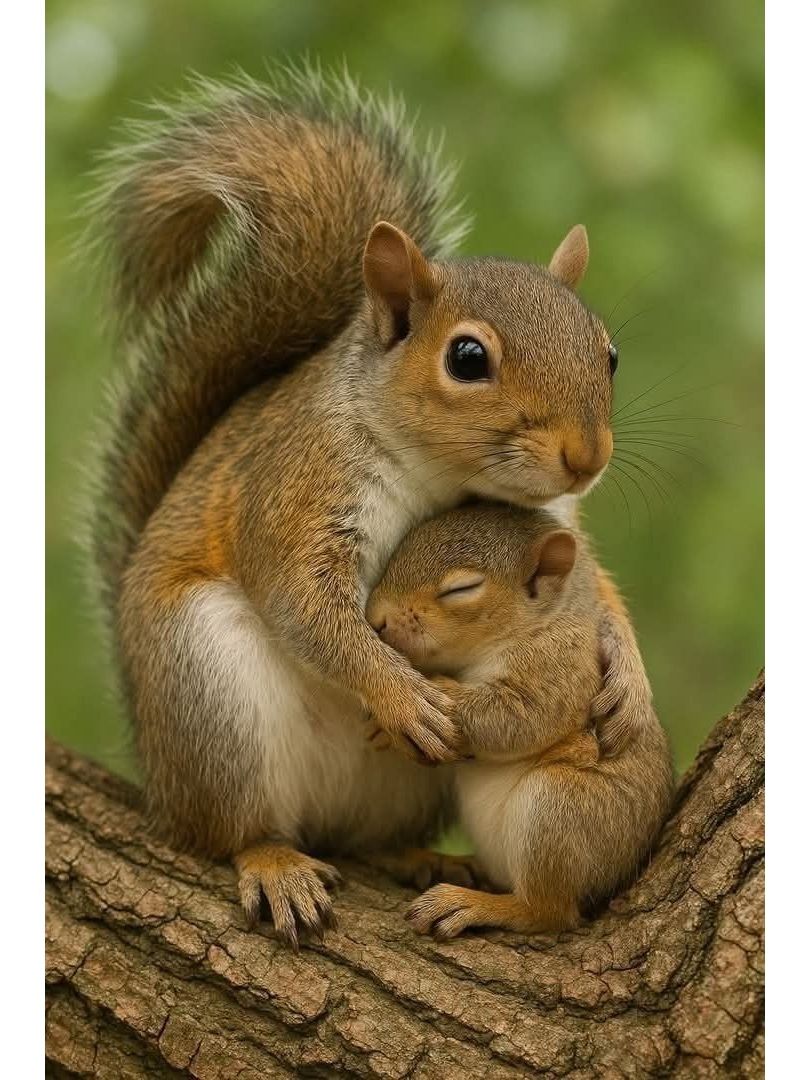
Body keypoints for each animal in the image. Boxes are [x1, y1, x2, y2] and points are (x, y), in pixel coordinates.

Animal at [365, 501, 674, 938]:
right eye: (401, 548)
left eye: (461, 589)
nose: (376, 619)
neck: (534, 624)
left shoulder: (559, 667)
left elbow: (516, 717)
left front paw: (414, 707)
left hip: (560, 808)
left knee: (548, 913)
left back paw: (472, 904)